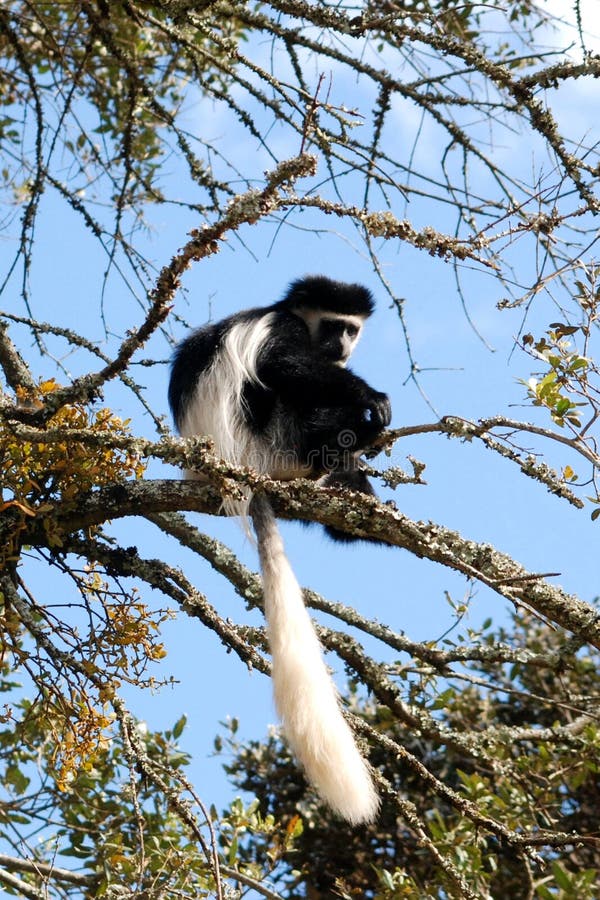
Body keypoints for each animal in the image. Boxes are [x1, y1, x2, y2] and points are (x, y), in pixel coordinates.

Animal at [168, 275, 391, 824]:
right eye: (332, 324)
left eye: (352, 328)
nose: (342, 346)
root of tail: (240, 470)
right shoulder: (283, 330)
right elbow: (281, 365)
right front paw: (370, 395)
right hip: (277, 437)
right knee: (292, 389)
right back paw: (357, 432)